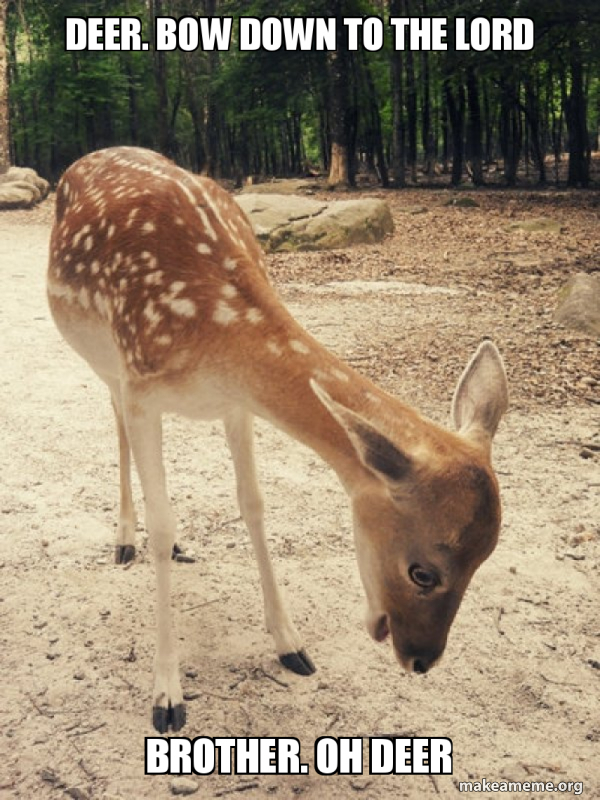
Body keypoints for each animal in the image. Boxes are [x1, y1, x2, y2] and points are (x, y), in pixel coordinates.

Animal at [47, 147, 508, 734]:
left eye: (485, 559)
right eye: (422, 571)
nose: (421, 659)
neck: (212, 332)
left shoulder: (237, 404)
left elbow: (254, 504)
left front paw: (291, 645)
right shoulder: (140, 388)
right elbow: (163, 517)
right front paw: (167, 695)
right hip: (104, 362)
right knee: (116, 425)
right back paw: (125, 539)